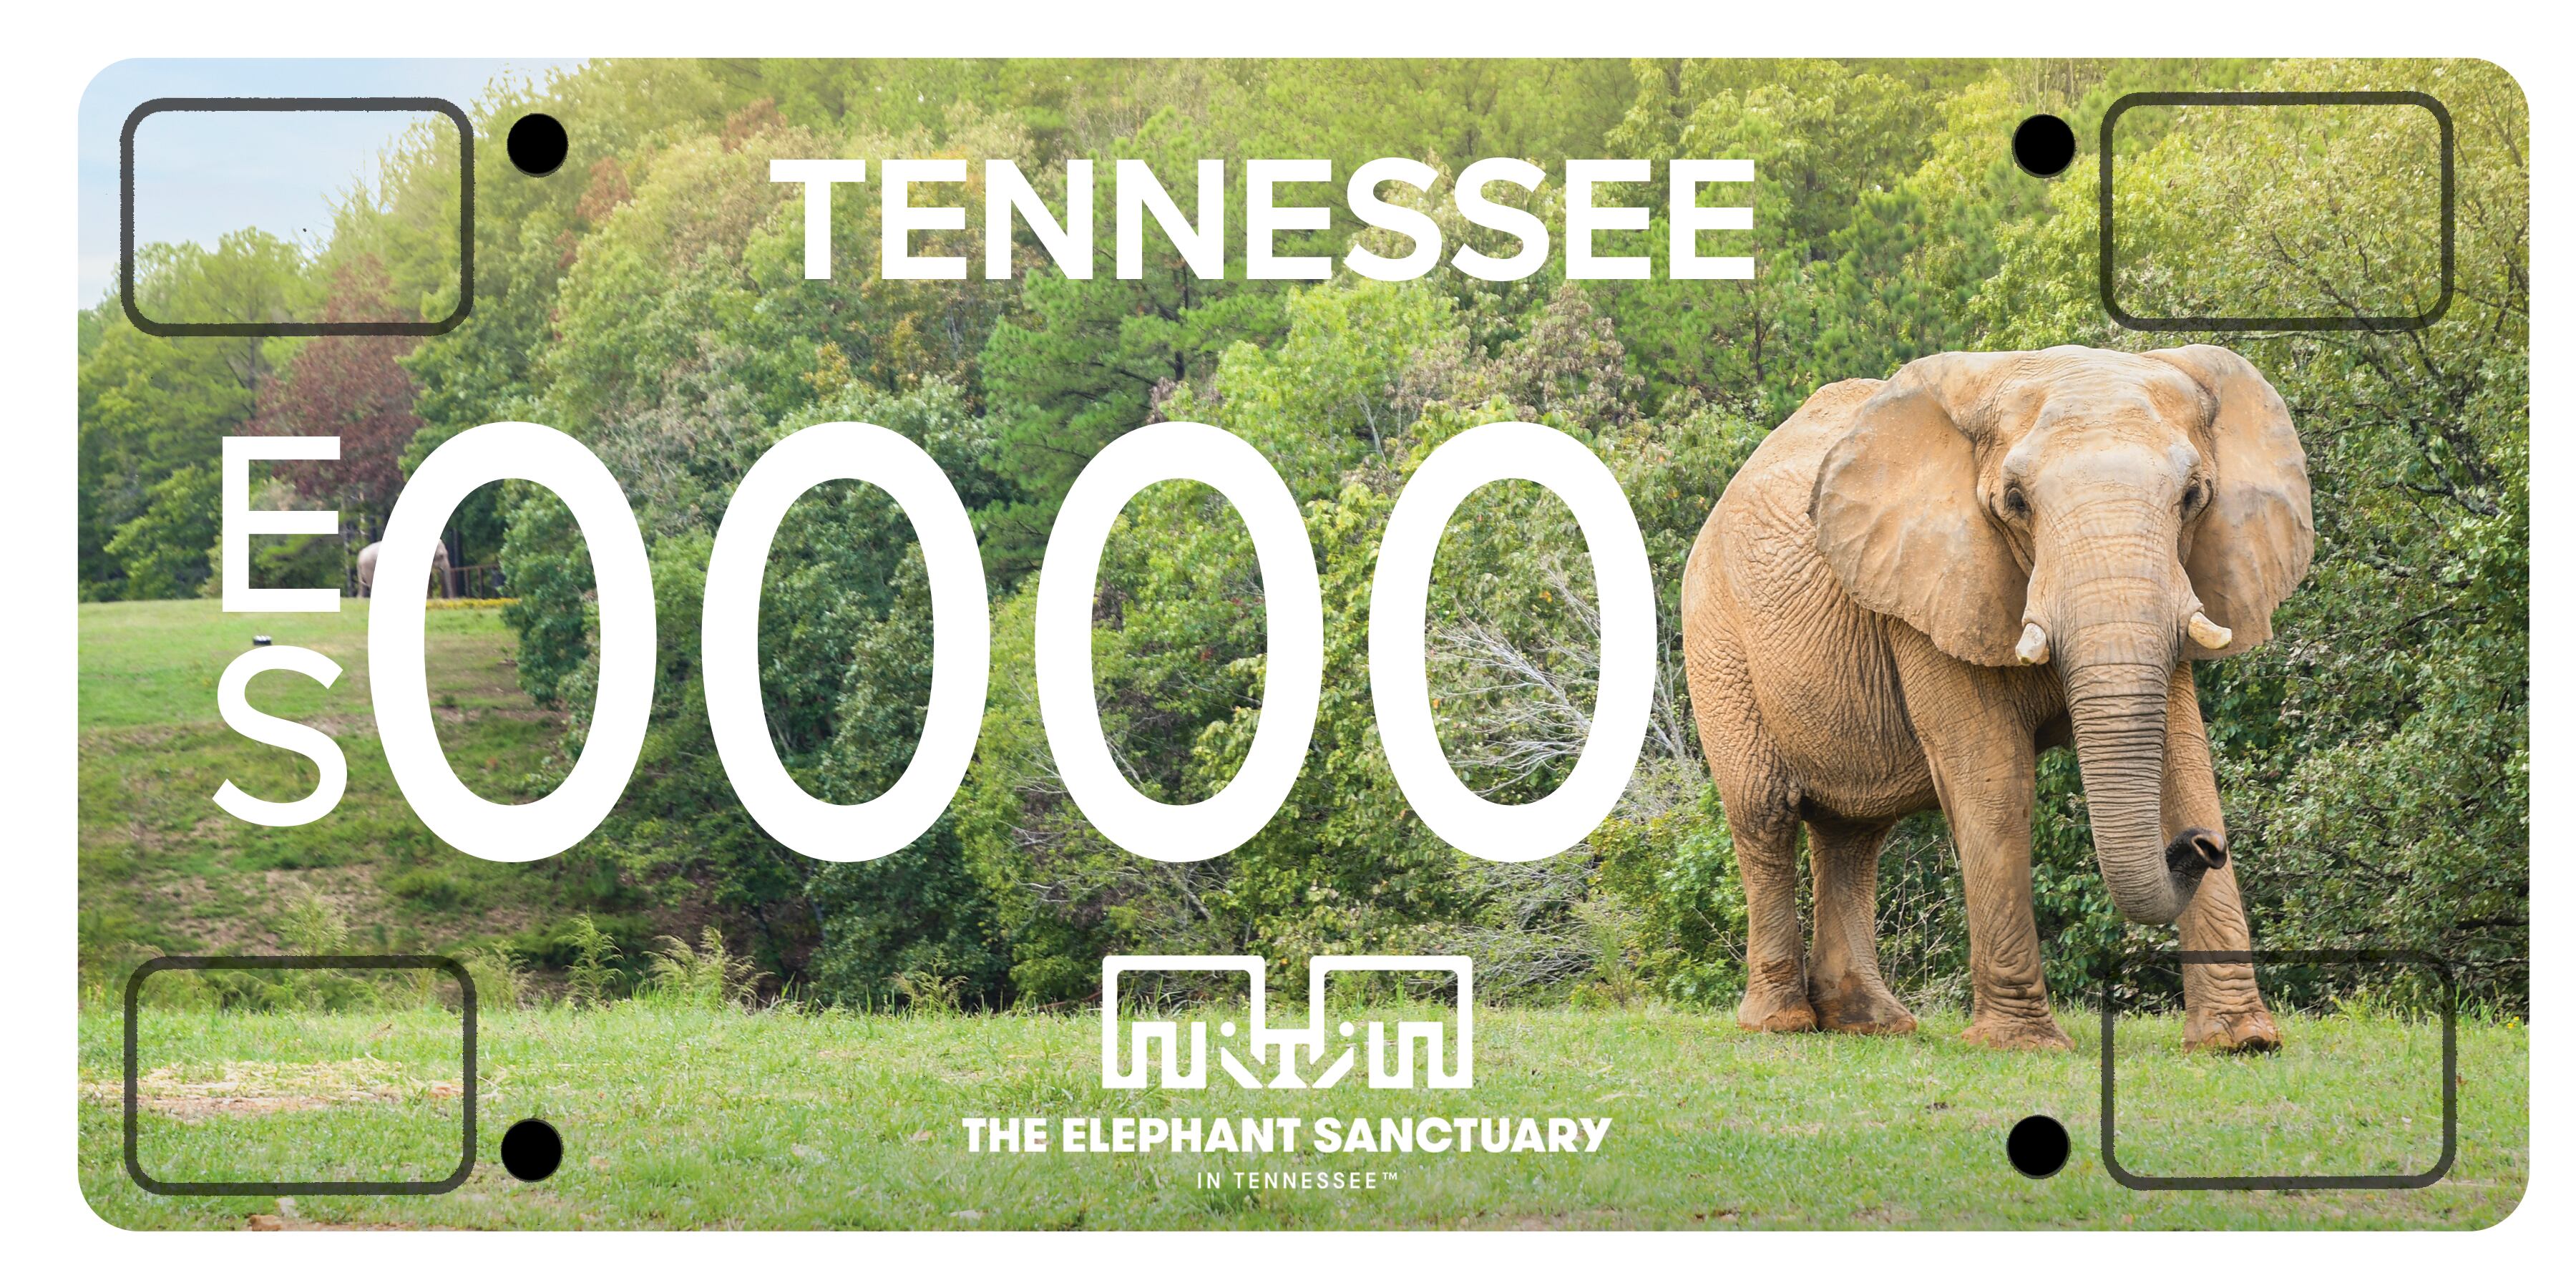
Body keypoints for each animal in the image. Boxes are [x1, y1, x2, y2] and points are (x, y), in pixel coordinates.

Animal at [1679, 344, 2310, 1053]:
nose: (2203, 848)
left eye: (2194, 497)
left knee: (1853, 831)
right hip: (1716, 637)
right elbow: (1994, 780)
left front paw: (2241, 1043)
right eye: (2015, 502)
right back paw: (1783, 1023)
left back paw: (1872, 1024)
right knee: (1766, 813)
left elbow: (2186, 761)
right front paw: (2022, 1044)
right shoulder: (1934, 590)